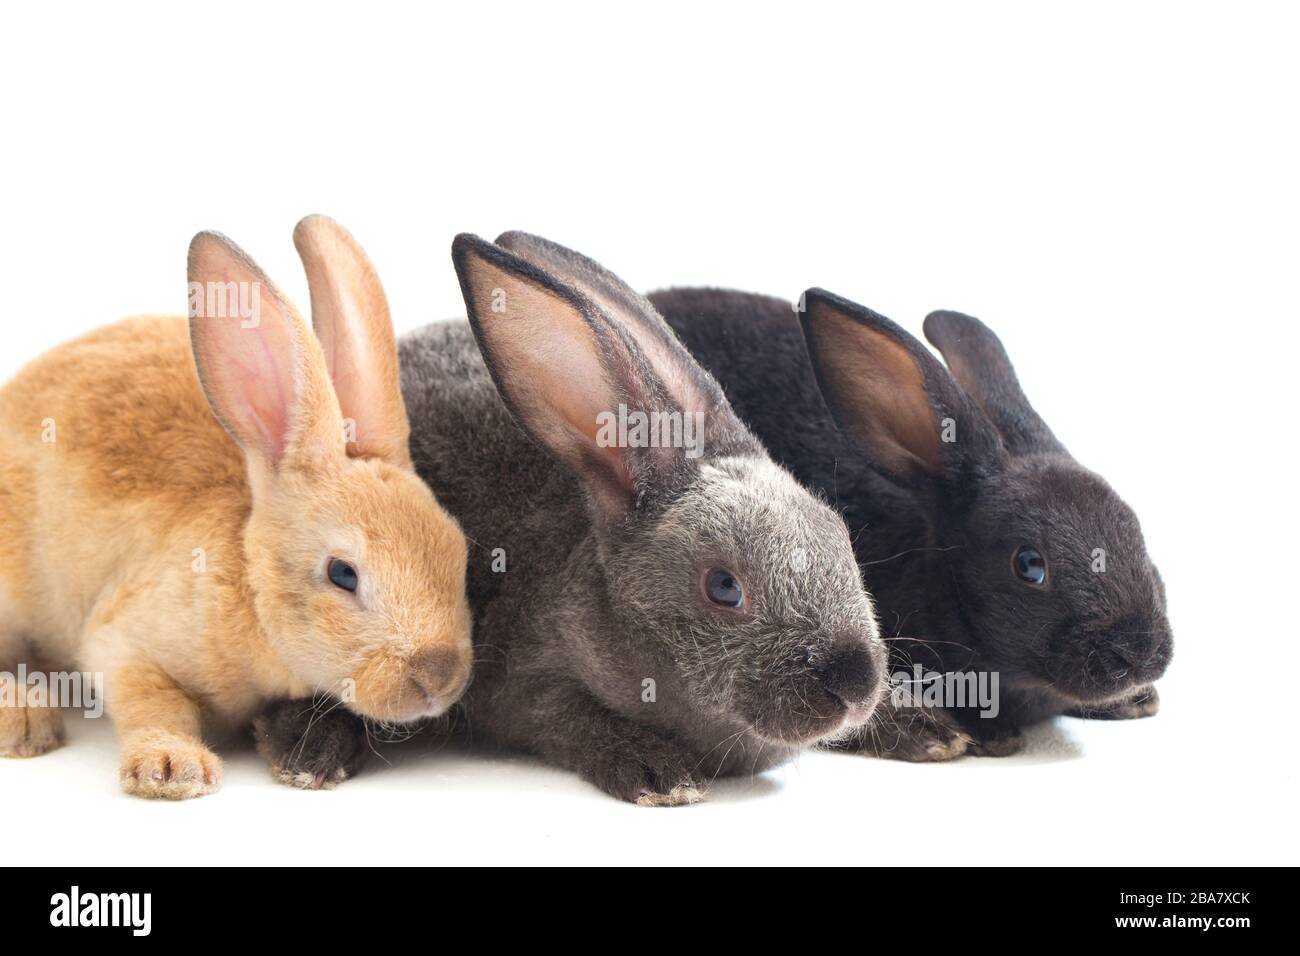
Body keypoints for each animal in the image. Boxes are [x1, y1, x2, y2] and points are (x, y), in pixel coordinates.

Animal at [0, 215, 473, 798]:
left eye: (457, 550)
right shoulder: (124, 645)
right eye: (343, 574)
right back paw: (24, 719)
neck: (252, 591)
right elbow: (152, 702)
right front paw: (171, 769)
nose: (440, 677)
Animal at [255, 232, 887, 804]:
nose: (855, 684)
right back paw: (312, 753)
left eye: (840, 539)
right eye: (724, 587)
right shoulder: (521, 684)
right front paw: (656, 771)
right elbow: (570, 720)